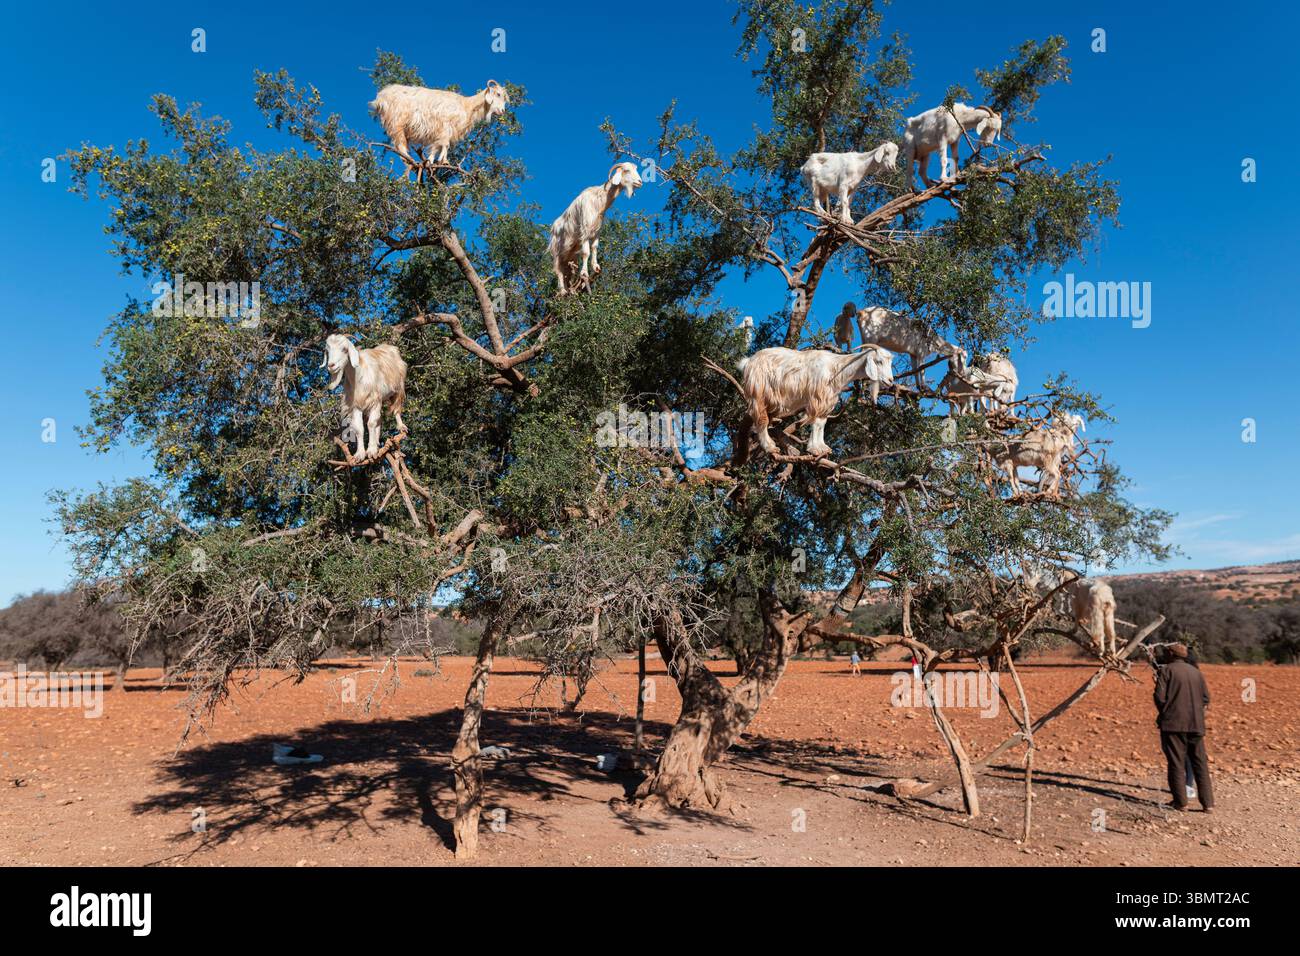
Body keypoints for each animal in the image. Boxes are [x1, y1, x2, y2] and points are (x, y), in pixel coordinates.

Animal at [369, 80, 509, 175]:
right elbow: (445, 145)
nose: (502, 111)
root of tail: (382, 96)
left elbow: (437, 147)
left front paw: (431, 161)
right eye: (497, 94)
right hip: (397, 123)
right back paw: (409, 161)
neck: (467, 106)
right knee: (400, 145)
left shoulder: (441, 131)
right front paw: (445, 161)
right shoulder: (445, 126)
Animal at [548, 162, 642, 295]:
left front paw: (596, 267)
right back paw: (562, 291)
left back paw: (570, 289)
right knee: (558, 270)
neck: (599, 200)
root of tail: (553, 228)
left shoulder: (596, 231)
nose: (640, 182)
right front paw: (584, 273)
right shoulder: (585, 232)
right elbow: (586, 252)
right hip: (557, 251)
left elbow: (594, 248)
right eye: (627, 170)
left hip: (570, 253)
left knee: (566, 270)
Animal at [738, 346, 894, 457]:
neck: (837, 368)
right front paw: (814, 449)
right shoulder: (817, 399)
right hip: (758, 394)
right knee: (761, 419)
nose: (890, 381)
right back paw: (770, 447)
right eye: (879, 361)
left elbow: (822, 423)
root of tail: (748, 362)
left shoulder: (827, 400)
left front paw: (822, 448)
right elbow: (815, 423)